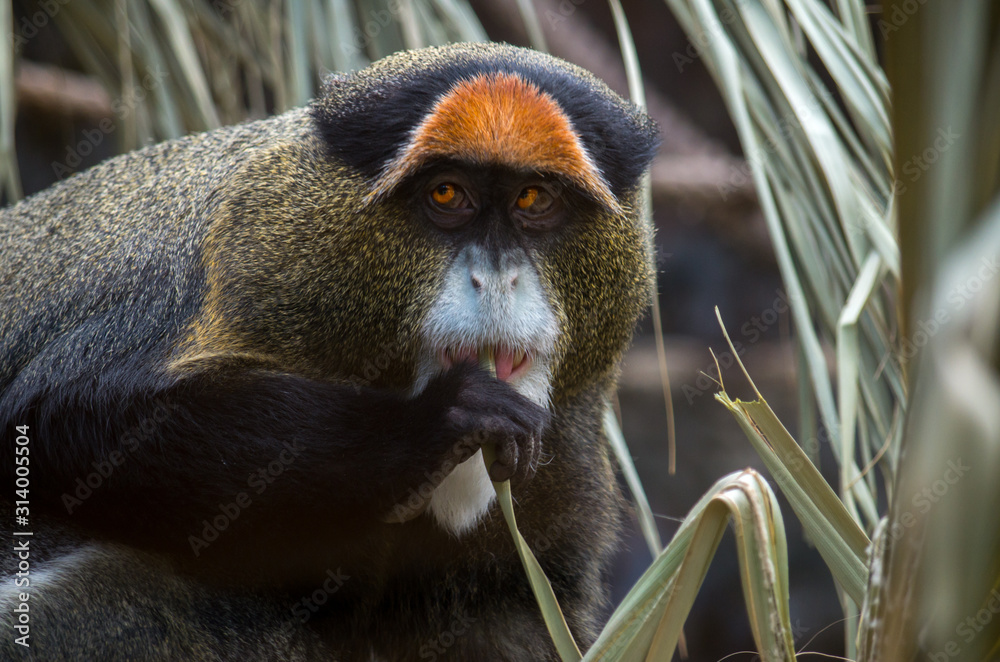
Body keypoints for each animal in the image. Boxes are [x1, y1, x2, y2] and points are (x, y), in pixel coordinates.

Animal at [0, 42, 658, 660]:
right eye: (447, 194)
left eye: (532, 200)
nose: (494, 280)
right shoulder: (226, 291)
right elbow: (64, 414)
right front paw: (433, 424)